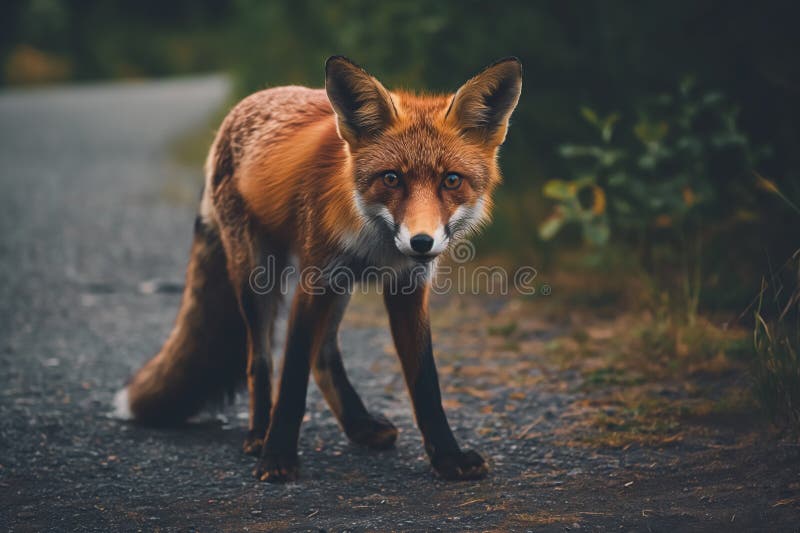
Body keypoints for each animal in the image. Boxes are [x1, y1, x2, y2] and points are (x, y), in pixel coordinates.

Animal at [117, 56, 522, 482]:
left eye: (452, 180)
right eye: (391, 178)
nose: (421, 243)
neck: (375, 243)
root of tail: (243, 106)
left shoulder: (408, 289)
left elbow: (425, 384)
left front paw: (448, 457)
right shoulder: (313, 282)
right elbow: (292, 376)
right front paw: (277, 456)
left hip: (338, 288)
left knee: (324, 353)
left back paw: (359, 426)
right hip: (259, 278)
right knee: (260, 359)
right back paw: (259, 434)